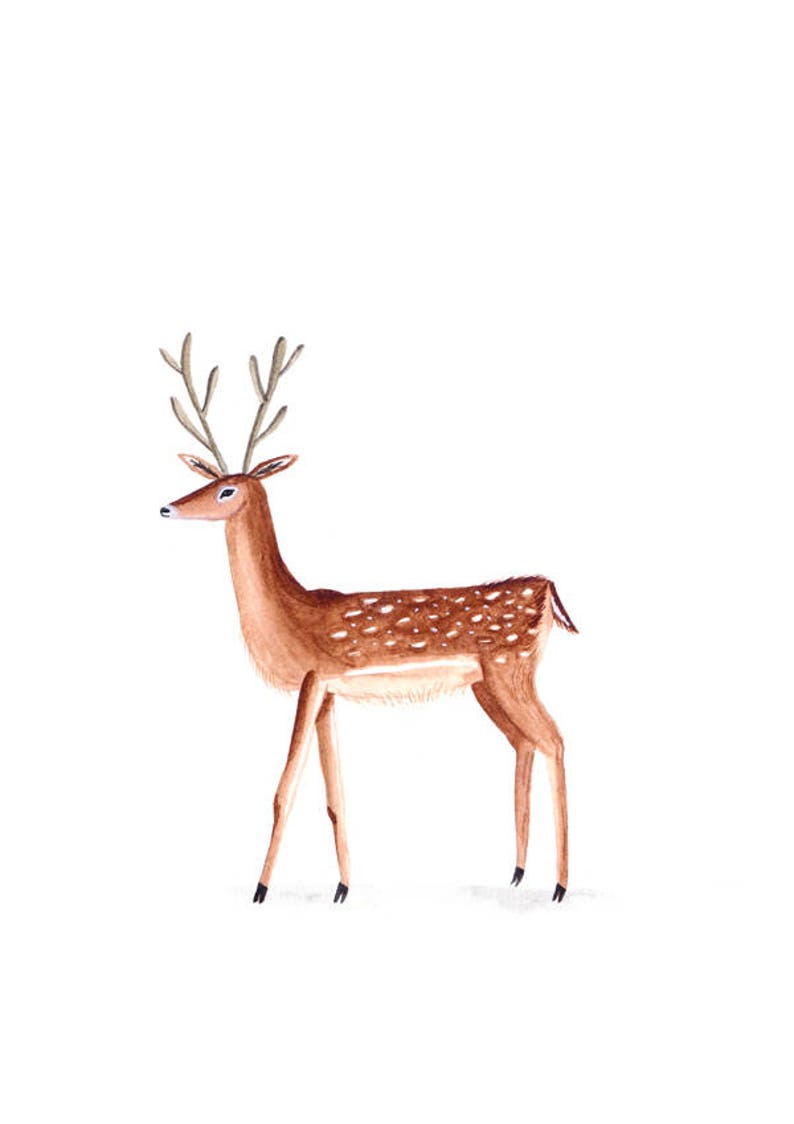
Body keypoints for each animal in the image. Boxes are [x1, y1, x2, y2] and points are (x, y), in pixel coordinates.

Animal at [159, 333, 578, 905]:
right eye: (210, 480)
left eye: (228, 490)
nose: (167, 508)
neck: (290, 613)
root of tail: (547, 589)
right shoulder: (329, 690)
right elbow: (334, 795)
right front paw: (341, 887)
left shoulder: (311, 678)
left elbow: (284, 789)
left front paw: (260, 889)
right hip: (487, 682)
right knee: (525, 743)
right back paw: (516, 873)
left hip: (511, 667)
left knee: (555, 739)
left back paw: (558, 885)